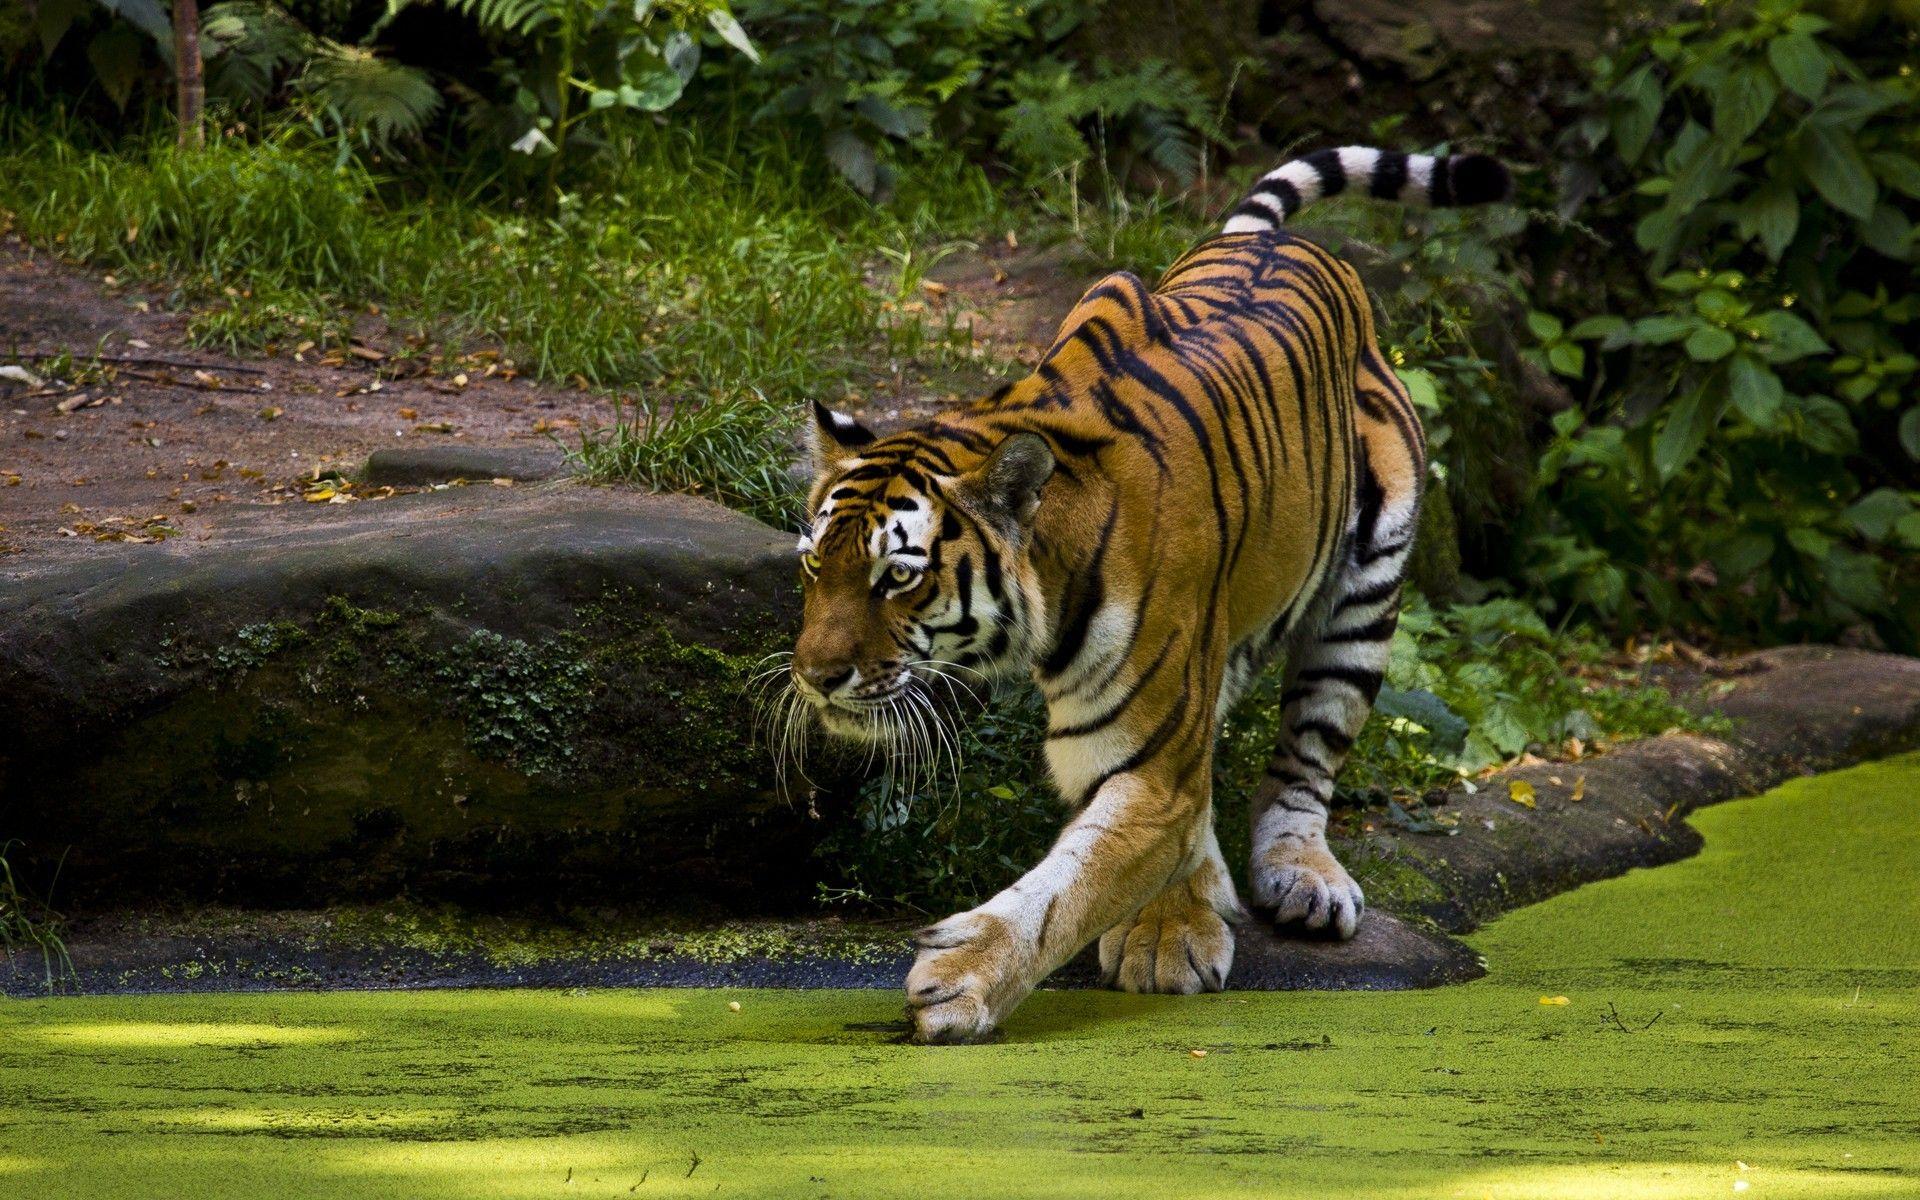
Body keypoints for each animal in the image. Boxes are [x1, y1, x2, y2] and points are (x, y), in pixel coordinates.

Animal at [785, 145, 1511, 1043]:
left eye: (899, 576)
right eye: (815, 566)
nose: (815, 677)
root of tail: (1281, 244)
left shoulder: (1148, 754)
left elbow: (1069, 887)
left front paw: (961, 977)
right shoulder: (1159, 729)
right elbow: (1145, 837)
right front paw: (1171, 927)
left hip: (1364, 597)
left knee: (1306, 754)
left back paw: (1302, 876)